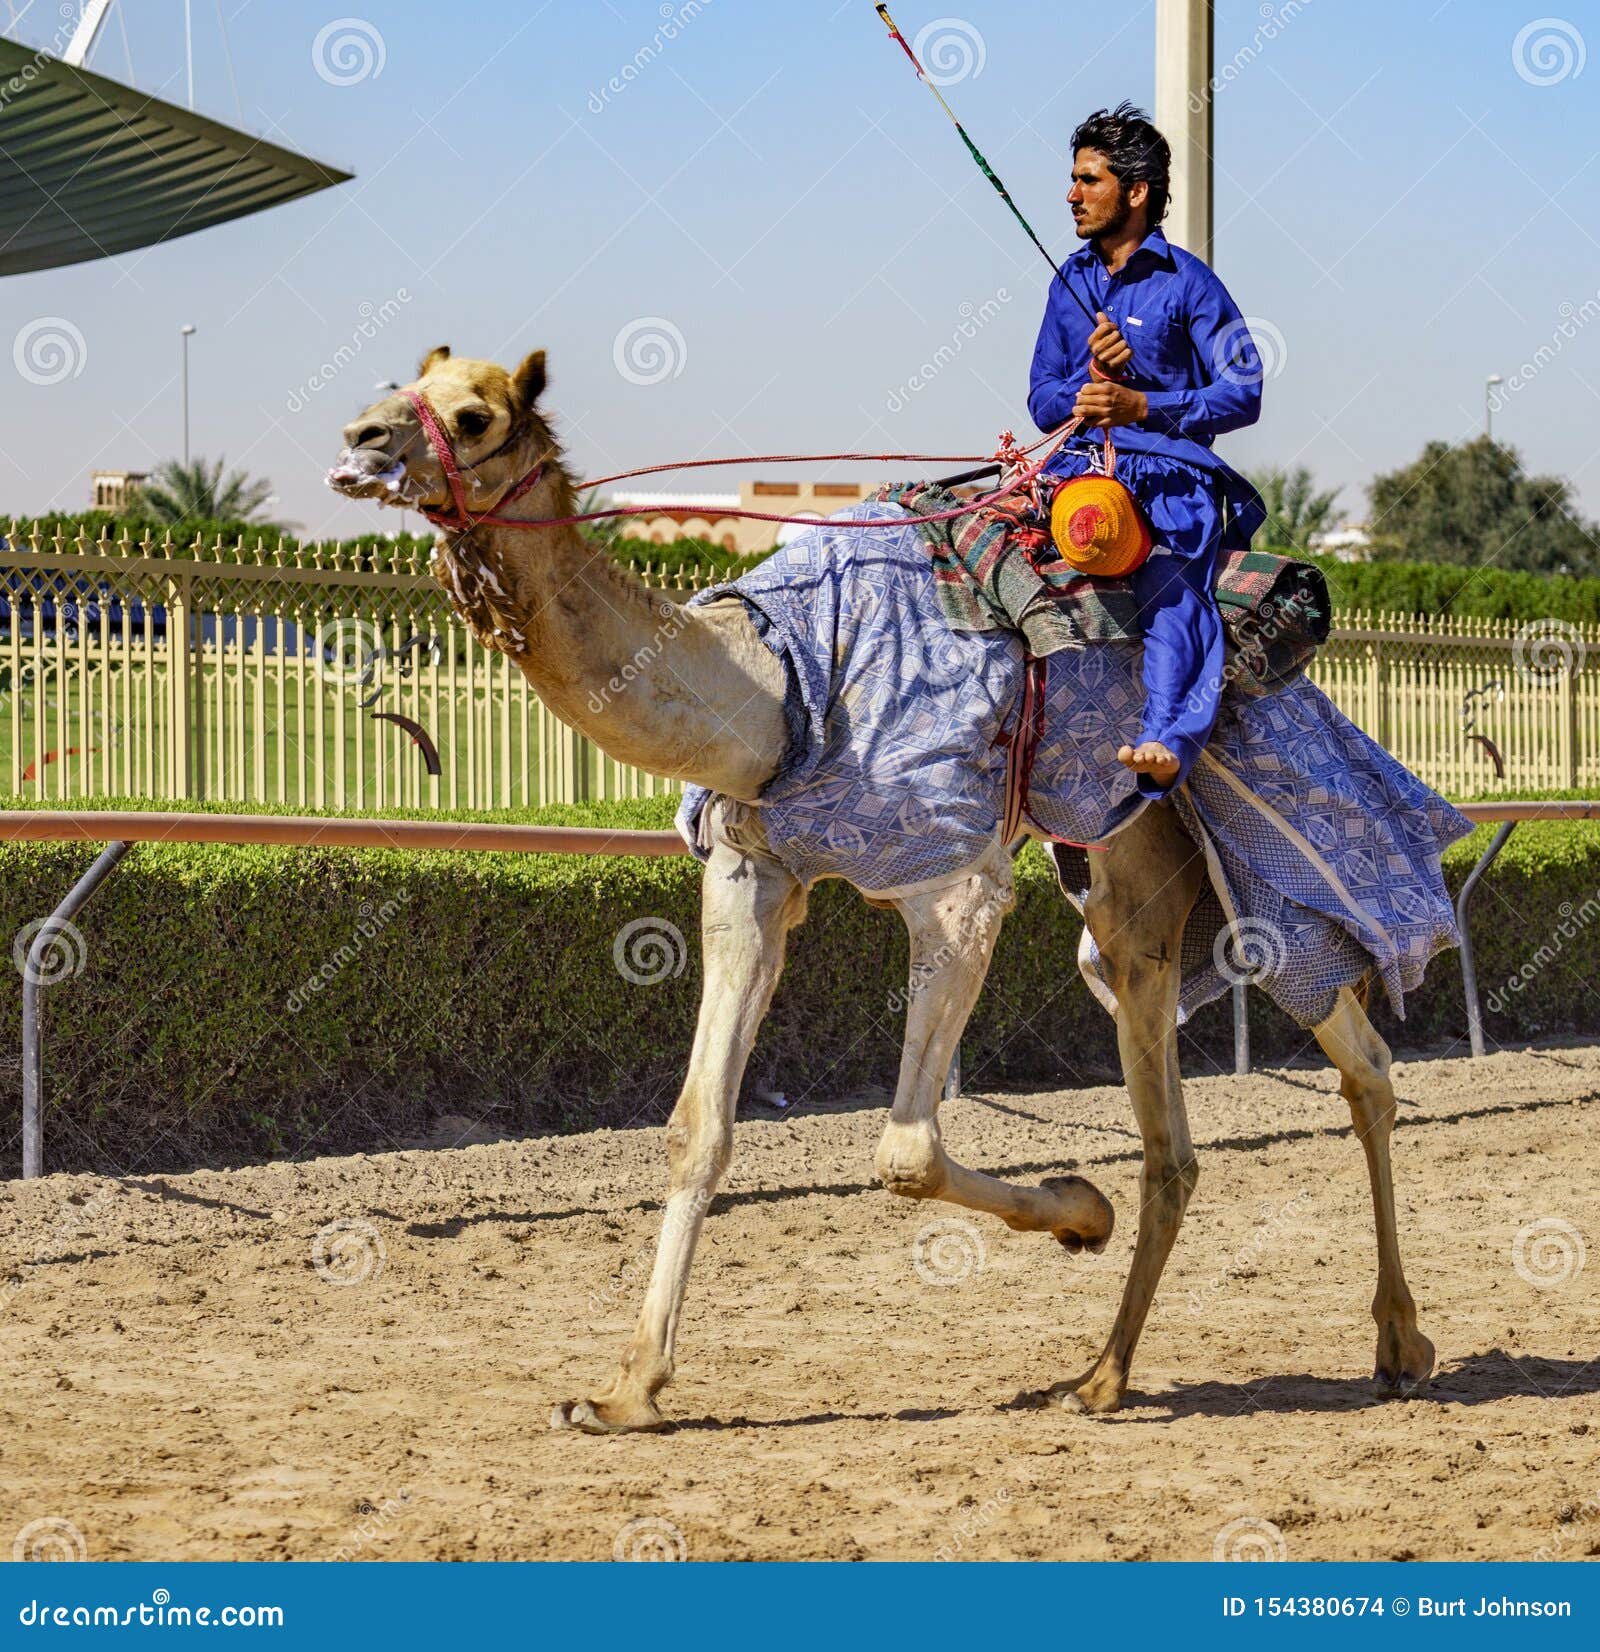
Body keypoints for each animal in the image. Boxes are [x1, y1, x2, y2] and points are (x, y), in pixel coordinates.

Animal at [327, 347, 1436, 1433]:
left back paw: (1379, 1344)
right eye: (401, 383)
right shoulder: (751, 867)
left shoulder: (957, 882)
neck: (780, 692)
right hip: (1134, 901)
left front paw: (1078, 1207)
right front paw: (625, 1390)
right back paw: (1115, 1374)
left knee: (1352, 1053)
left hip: (1242, 870)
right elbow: (698, 1128)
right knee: (1195, 1129)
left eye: (472, 414)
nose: (358, 440)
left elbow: (904, 1149)